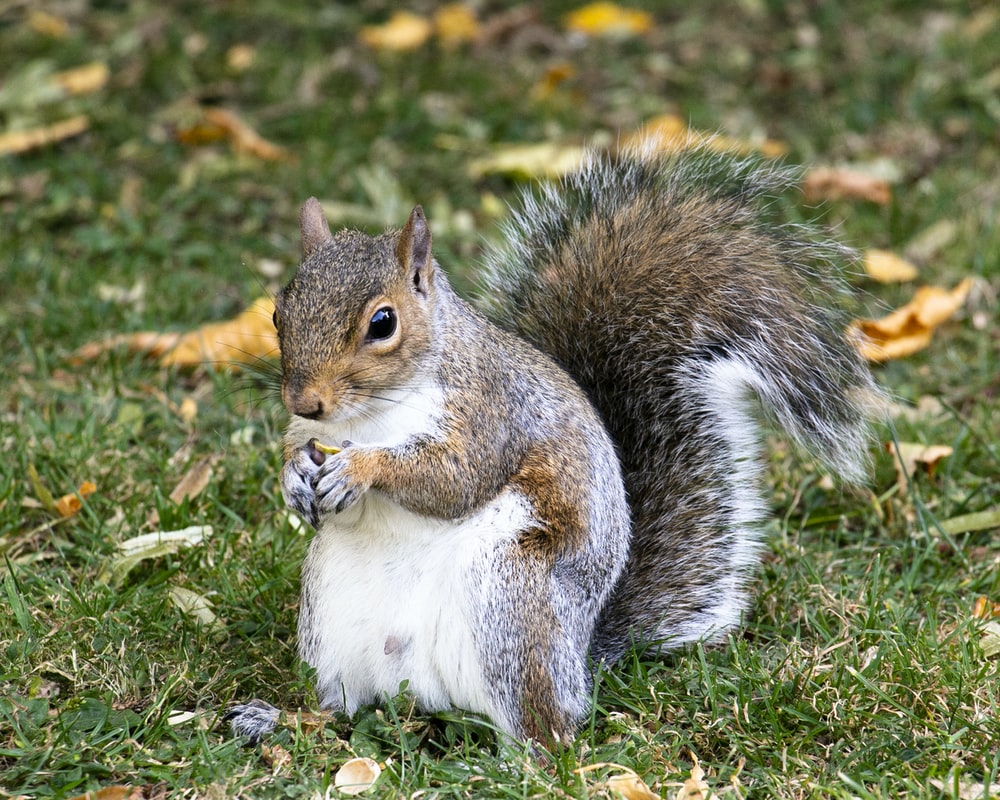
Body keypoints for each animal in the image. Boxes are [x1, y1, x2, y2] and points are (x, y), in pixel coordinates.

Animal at [225, 145, 879, 746]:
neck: (369, 415)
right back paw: (277, 718)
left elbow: (453, 477)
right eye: (279, 314)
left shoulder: (491, 413)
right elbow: (300, 450)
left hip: (513, 598)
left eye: (382, 323)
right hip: (331, 619)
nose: (304, 401)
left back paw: (520, 759)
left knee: (548, 729)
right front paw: (292, 476)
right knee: (342, 709)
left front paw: (361, 468)